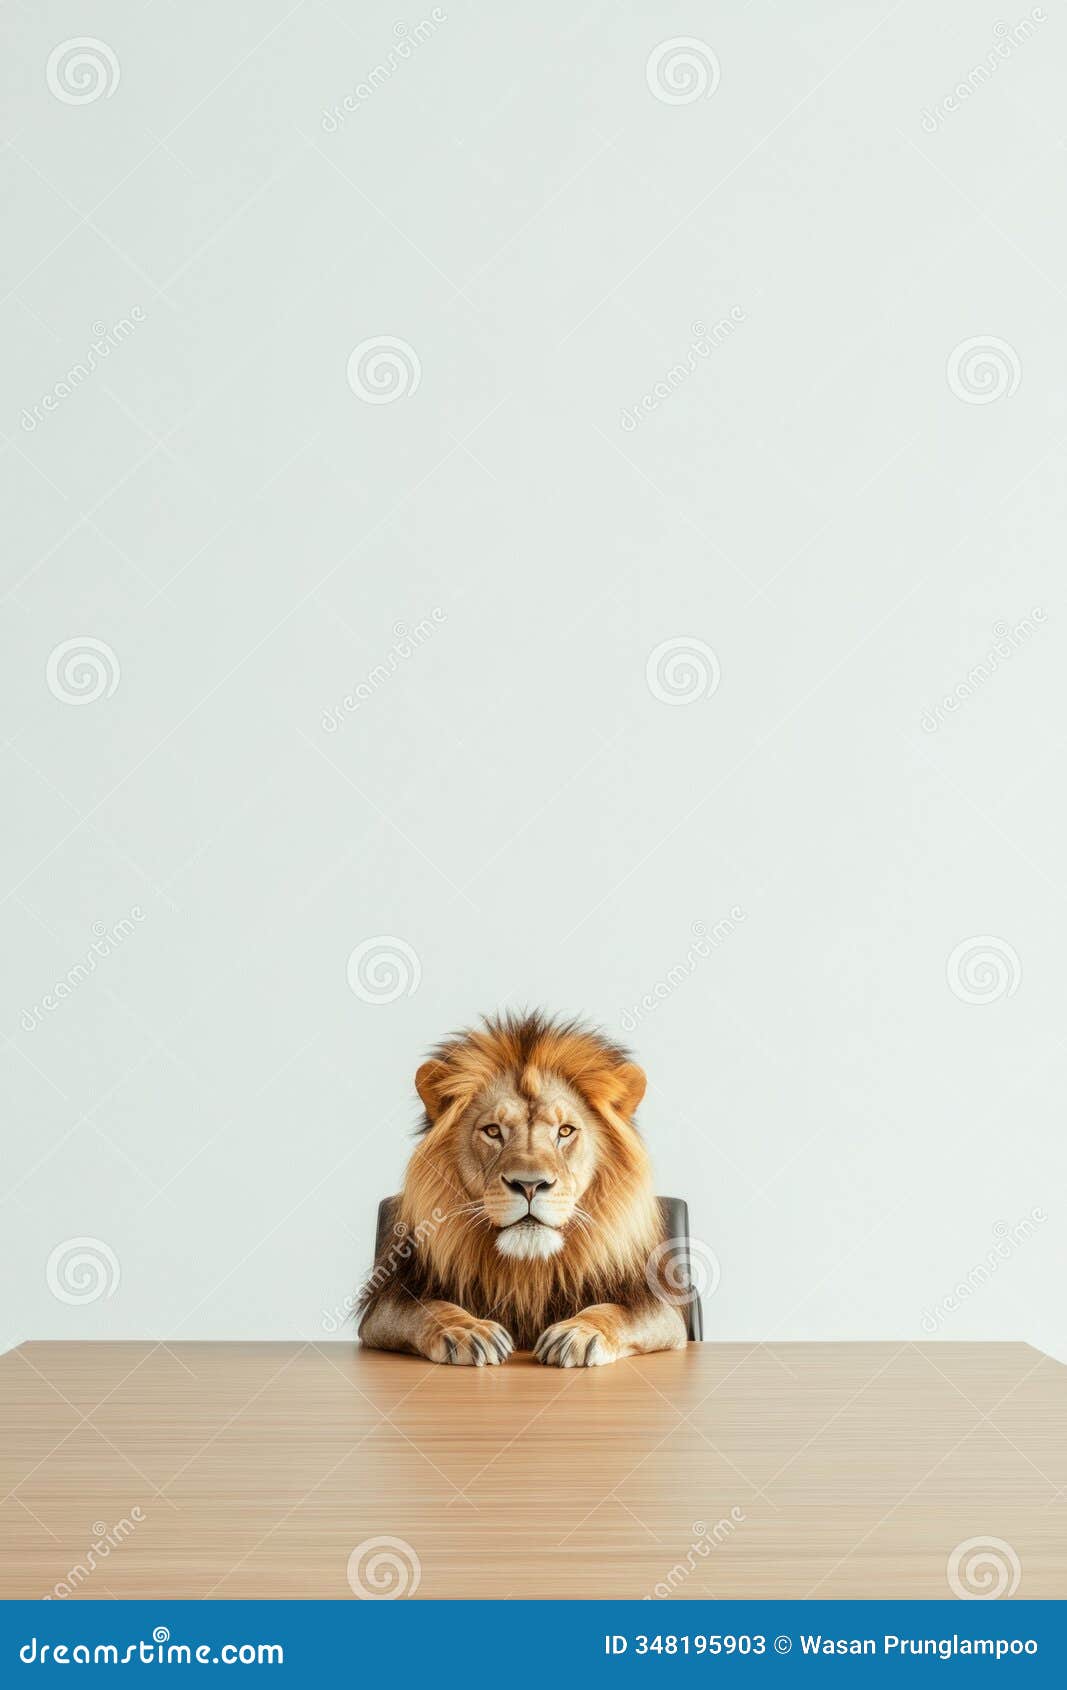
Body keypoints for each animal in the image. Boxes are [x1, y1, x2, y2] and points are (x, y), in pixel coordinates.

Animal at [357, 1011, 688, 1366]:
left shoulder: (662, 1310)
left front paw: (579, 1334)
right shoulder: (383, 1306)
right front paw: (470, 1331)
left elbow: (614, 1312)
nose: (529, 1184)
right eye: (493, 1131)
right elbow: (431, 1308)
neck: (527, 1272)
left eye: (565, 1131)